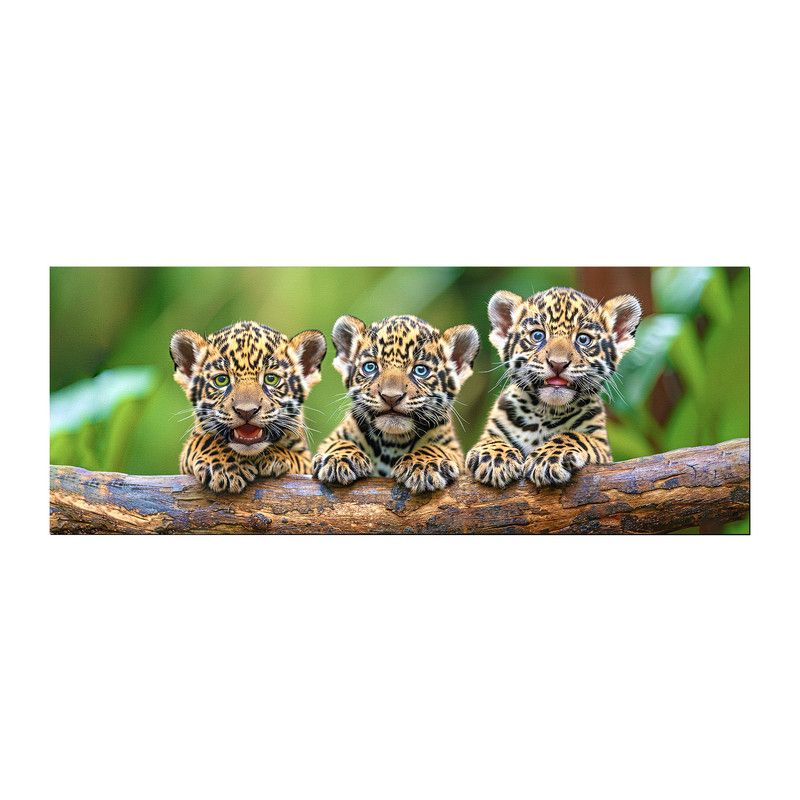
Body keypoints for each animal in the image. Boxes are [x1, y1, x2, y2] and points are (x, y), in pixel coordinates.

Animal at [170, 320, 326, 493]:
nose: (246, 412)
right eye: (221, 380)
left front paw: (276, 456)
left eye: (271, 379)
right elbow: (202, 440)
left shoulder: (306, 460)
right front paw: (224, 465)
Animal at [313, 314, 480, 494]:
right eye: (370, 367)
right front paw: (339, 458)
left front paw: (423, 463)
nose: (391, 397)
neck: (393, 443)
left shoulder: (453, 448)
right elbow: (337, 442)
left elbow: (437, 447)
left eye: (420, 370)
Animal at [466, 286, 642, 488]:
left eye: (583, 339)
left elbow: (575, 435)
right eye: (537, 335)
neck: (545, 413)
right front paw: (495, 458)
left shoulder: (602, 446)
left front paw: (547, 458)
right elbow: (490, 439)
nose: (558, 364)